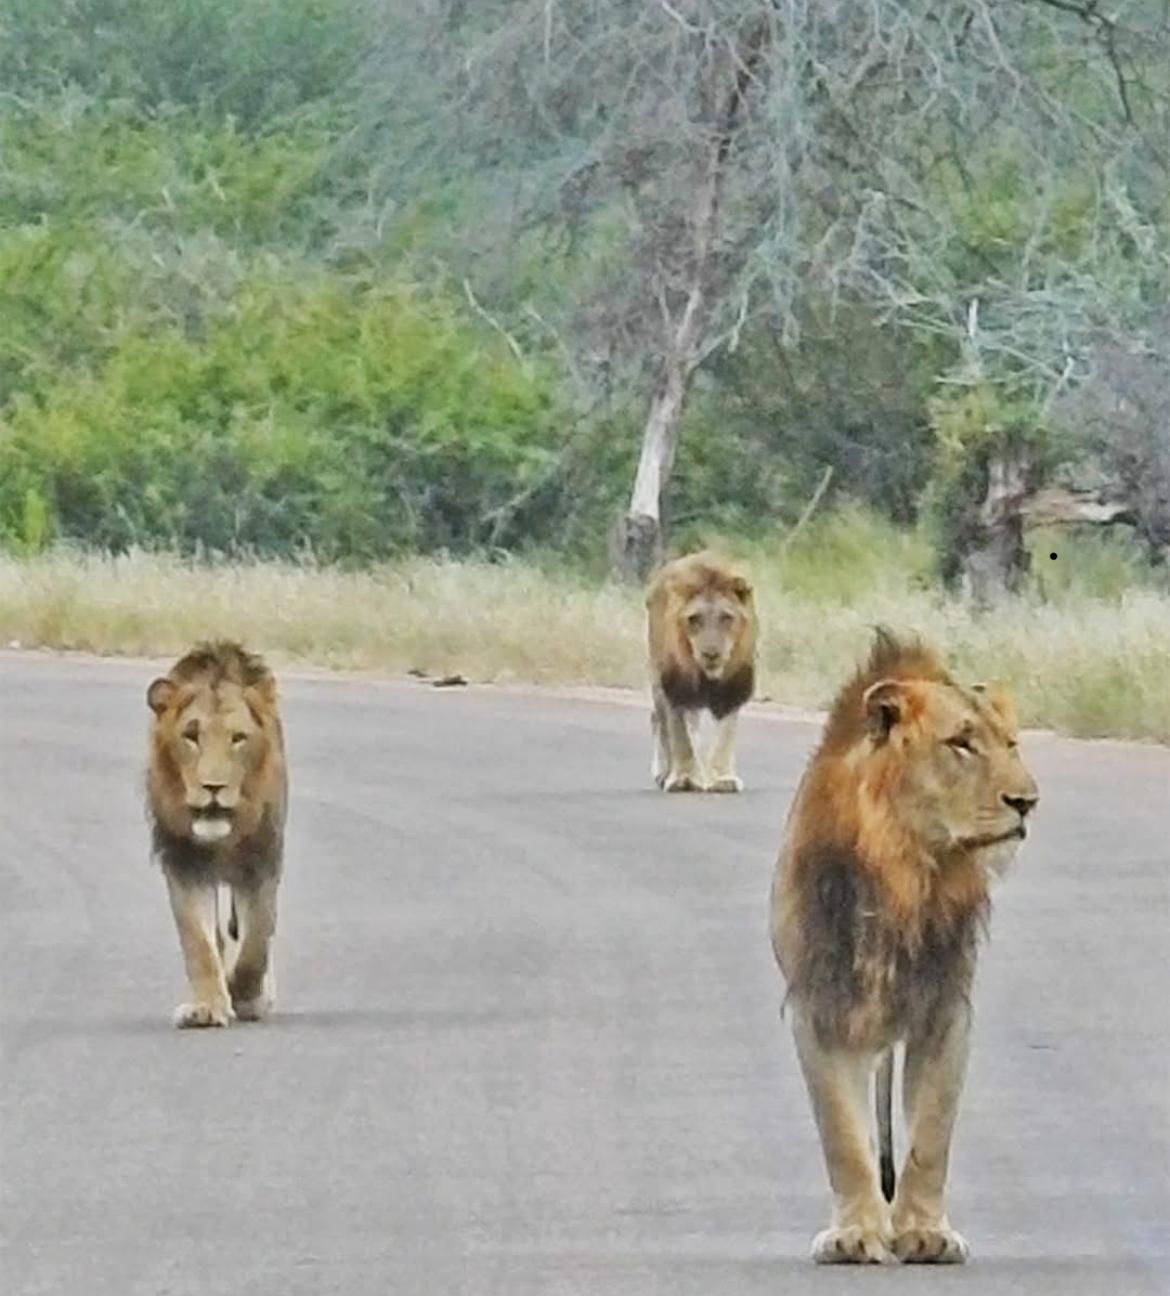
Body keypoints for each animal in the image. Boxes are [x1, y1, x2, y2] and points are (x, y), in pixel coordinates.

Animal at [146, 641, 288, 1029]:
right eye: (191, 736)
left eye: (238, 738)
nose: (213, 787)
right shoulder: (185, 865)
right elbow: (198, 942)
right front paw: (207, 1007)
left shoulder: (261, 863)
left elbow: (258, 940)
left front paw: (248, 997)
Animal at [645, 550, 758, 792]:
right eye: (694, 619)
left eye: (726, 617)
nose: (711, 653)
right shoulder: (675, 686)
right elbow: (679, 736)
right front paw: (683, 778)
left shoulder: (732, 688)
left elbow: (725, 734)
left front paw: (724, 779)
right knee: (659, 721)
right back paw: (664, 773)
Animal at [769, 628, 1038, 1264]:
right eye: (961, 743)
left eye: (1011, 743)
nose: (1027, 802)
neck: (907, 863)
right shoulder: (820, 1005)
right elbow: (842, 1135)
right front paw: (855, 1234)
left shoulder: (945, 1009)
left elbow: (931, 1136)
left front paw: (923, 1231)